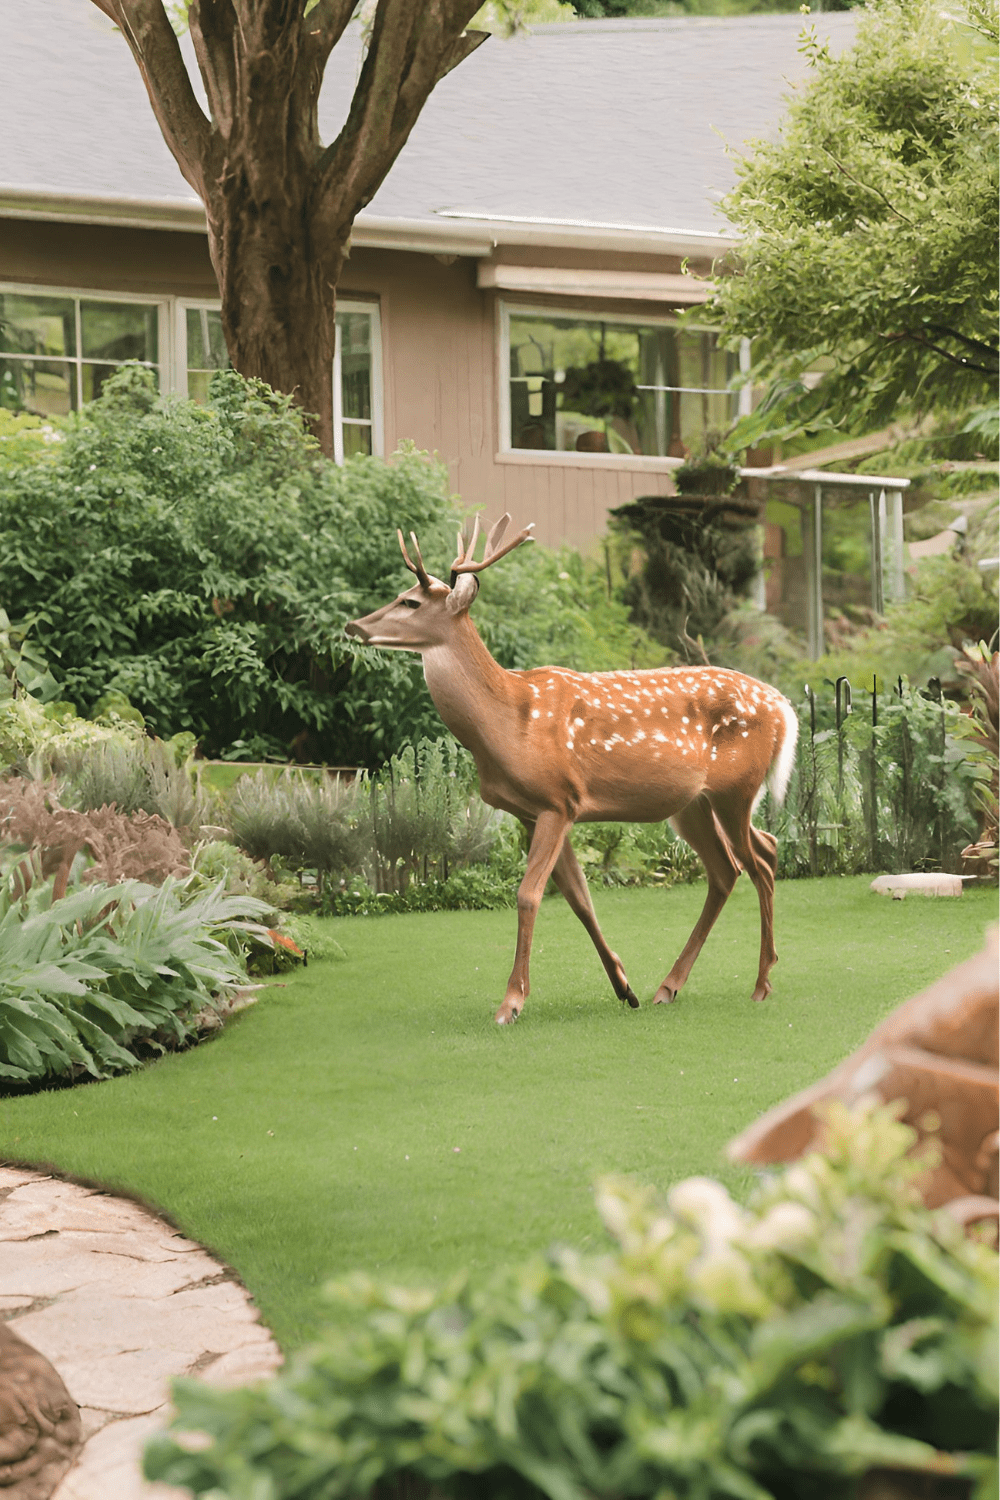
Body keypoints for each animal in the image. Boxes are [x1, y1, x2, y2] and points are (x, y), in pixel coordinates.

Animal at [346, 514, 799, 1025]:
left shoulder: (557, 799)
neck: (508, 722)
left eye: (411, 601)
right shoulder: (536, 810)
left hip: (735, 789)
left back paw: (761, 983)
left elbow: (528, 895)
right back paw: (667, 987)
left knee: (762, 859)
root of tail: (784, 706)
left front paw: (511, 1003)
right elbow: (579, 898)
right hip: (692, 804)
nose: (352, 624)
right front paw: (624, 987)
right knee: (731, 867)